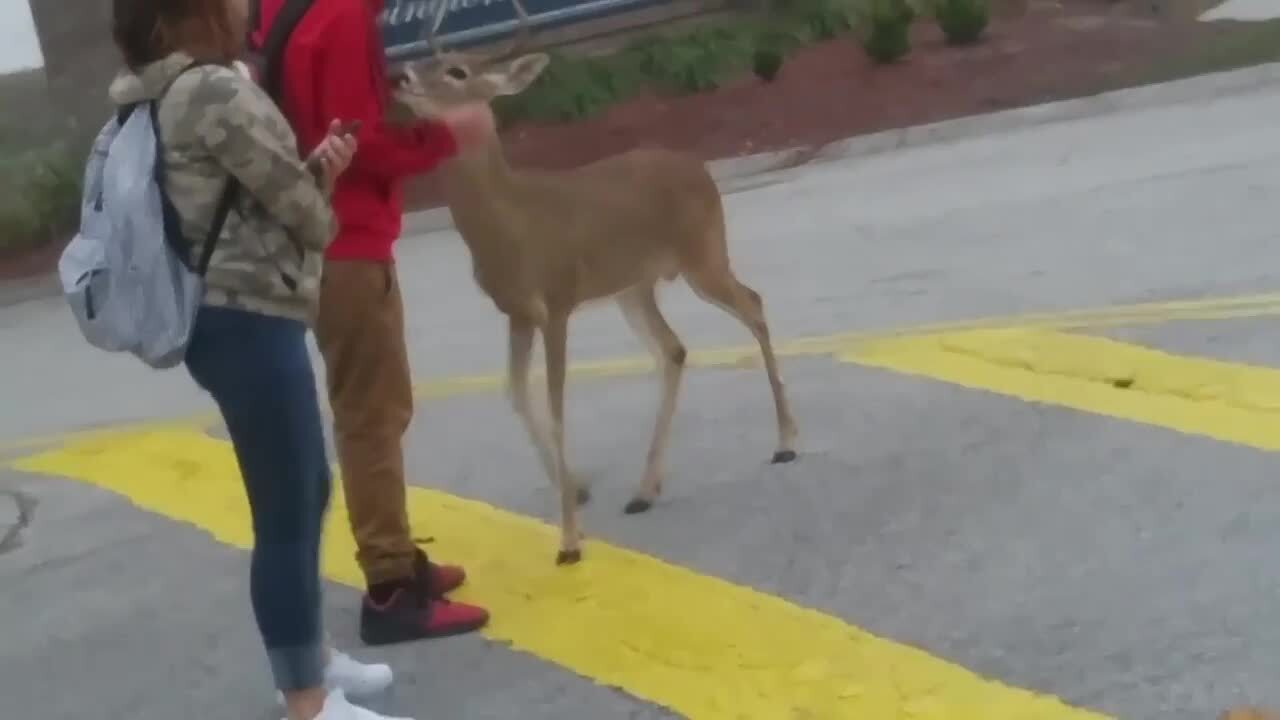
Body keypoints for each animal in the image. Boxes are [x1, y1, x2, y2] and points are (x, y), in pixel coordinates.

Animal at [388, 0, 798, 565]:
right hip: (634, 286)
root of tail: (698, 166)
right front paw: (577, 490)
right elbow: (516, 392)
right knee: (673, 349)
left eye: (457, 72)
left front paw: (569, 540)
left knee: (753, 304)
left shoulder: (558, 301)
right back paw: (645, 490)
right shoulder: (516, 311)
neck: (511, 224)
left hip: (703, 254)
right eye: (433, 62)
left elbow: (557, 404)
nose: (400, 76)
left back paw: (785, 442)